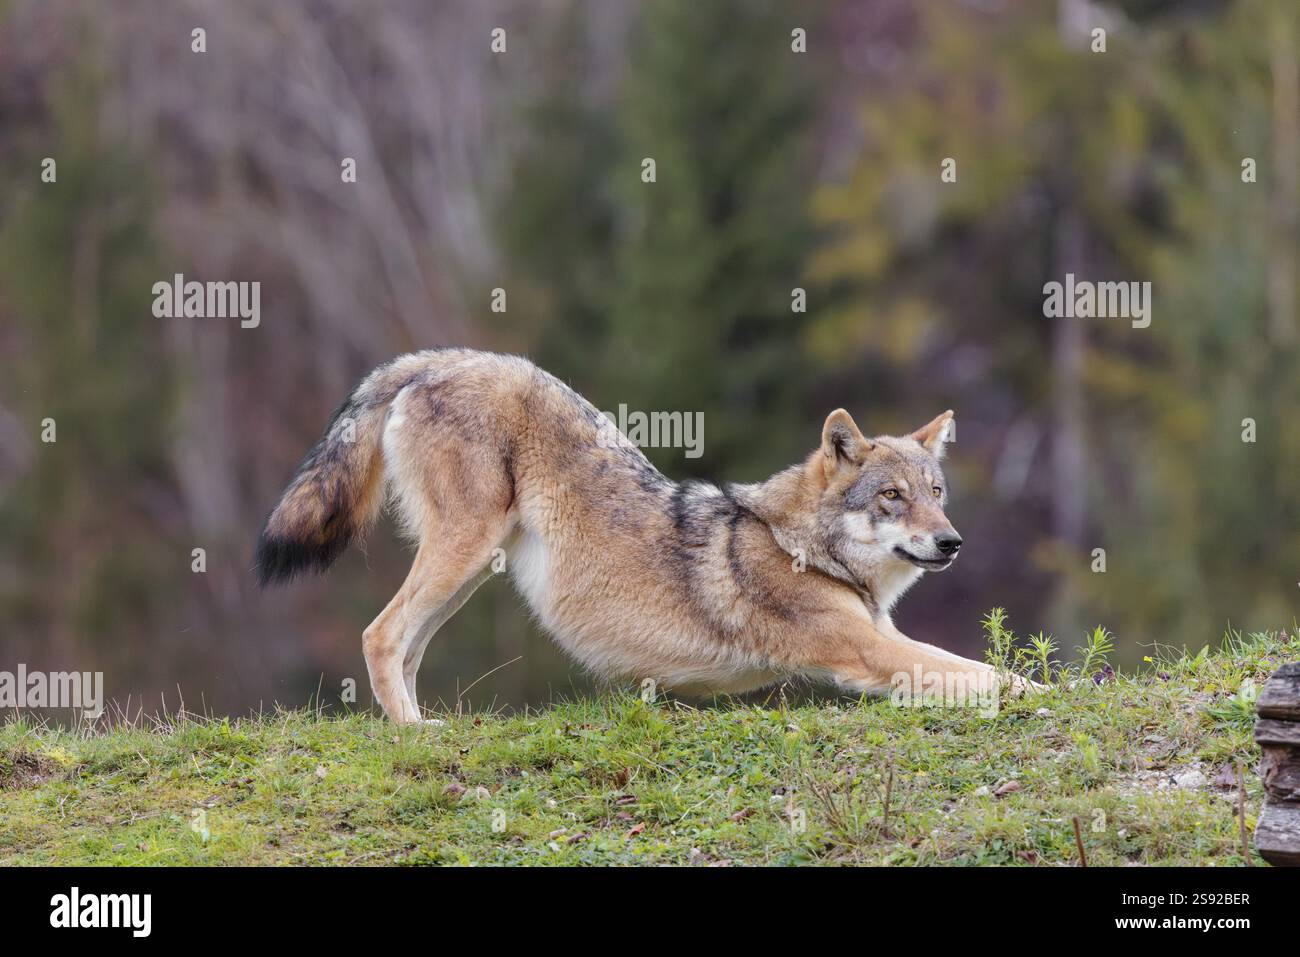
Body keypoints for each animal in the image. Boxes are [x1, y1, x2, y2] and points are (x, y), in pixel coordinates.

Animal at [255, 349, 1018, 724]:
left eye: (936, 494)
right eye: (893, 497)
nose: (951, 542)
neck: (796, 543)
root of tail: (436, 359)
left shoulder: (883, 639)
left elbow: (980, 669)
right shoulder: (869, 650)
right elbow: (990, 675)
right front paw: (1039, 693)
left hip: (471, 569)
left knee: (405, 645)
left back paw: (418, 727)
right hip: (464, 551)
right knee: (380, 634)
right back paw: (413, 734)